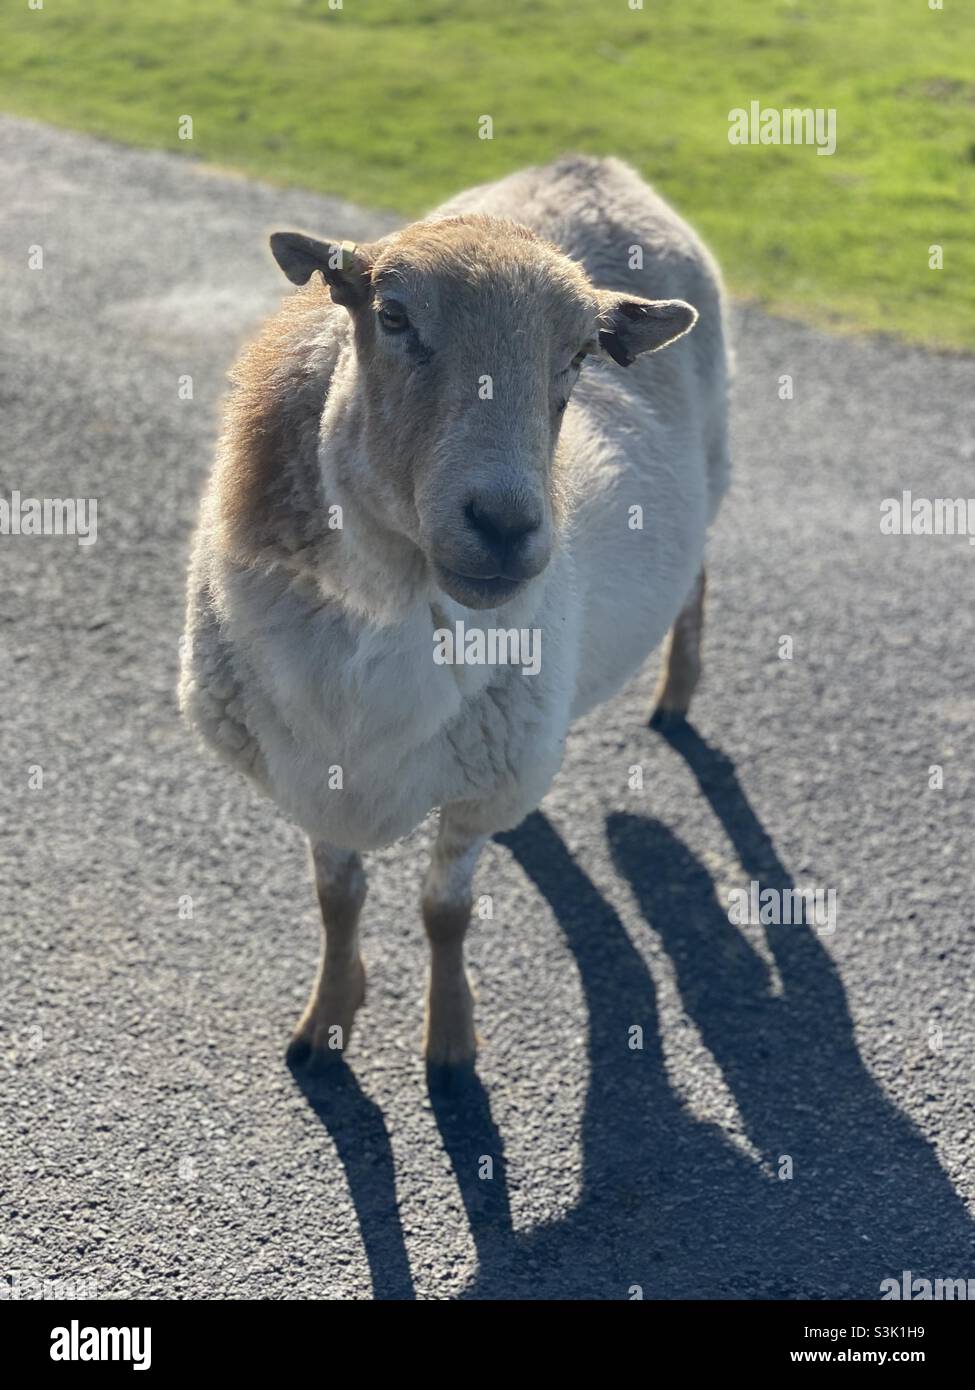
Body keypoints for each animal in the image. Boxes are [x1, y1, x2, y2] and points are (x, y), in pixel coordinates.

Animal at [179, 154, 731, 1072]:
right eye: (392, 316)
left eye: (581, 353)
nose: (505, 525)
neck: (384, 609)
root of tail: (591, 166)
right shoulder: (312, 774)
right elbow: (335, 898)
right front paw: (326, 1021)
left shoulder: (477, 788)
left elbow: (446, 915)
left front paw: (449, 1041)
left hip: (714, 475)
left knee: (695, 579)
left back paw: (679, 694)